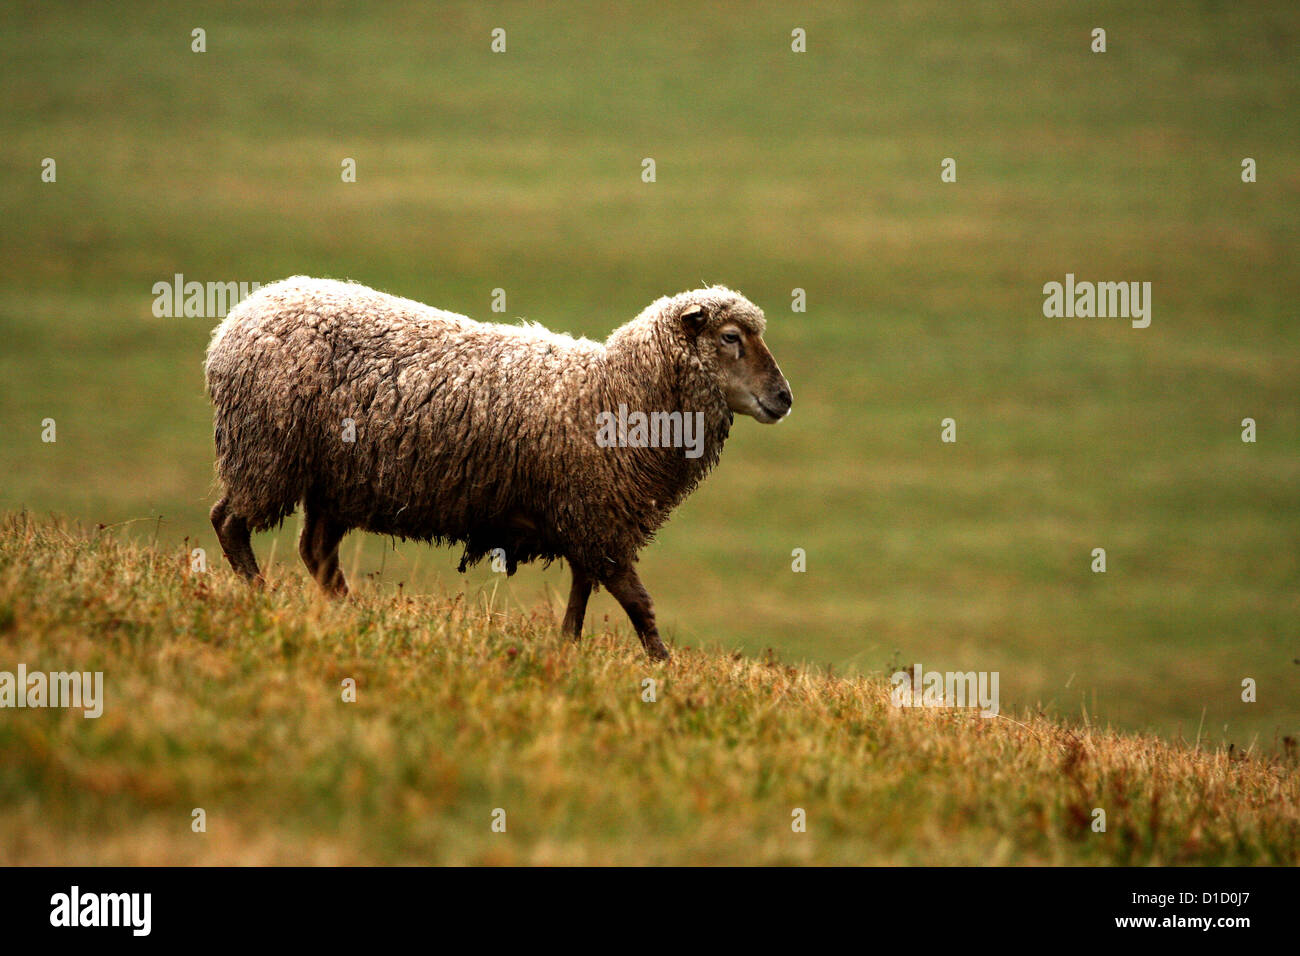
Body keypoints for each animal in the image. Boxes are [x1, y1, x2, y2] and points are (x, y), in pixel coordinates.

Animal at [204, 277, 792, 660]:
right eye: (731, 337)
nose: (784, 398)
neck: (614, 389)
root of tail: (237, 320)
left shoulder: (586, 518)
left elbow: (584, 591)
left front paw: (568, 647)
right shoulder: (597, 519)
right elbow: (636, 600)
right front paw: (663, 665)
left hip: (334, 480)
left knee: (315, 551)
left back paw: (350, 612)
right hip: (266, 453)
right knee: (229, 524)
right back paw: (261, 597)